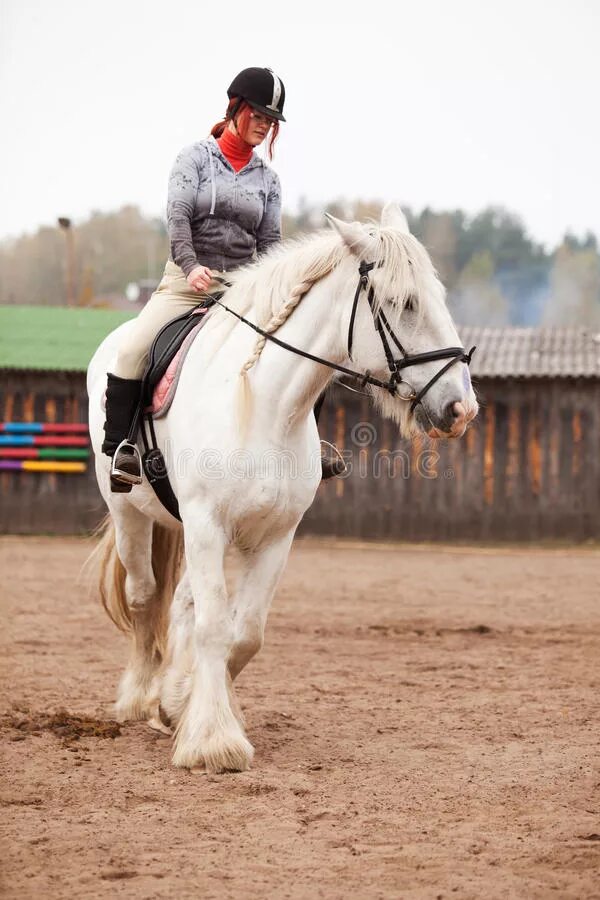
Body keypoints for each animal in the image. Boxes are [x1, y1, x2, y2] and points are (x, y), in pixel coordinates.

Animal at [87, 204, 478, 773]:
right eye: (402, 303)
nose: (460, 408)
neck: (263, 404)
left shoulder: (276, 536)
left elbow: (244, 634)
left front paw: (196, 709)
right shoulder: (207, 526)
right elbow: (213, 627)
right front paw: (213, 741)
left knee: (181, 603)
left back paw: (169, 697)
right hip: (130, 516)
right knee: (144, 596)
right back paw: (138, 698)